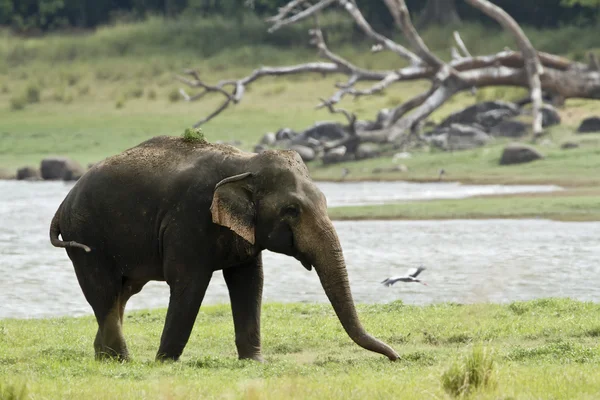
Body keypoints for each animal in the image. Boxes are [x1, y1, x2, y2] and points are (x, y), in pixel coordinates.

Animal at [50, 135, 398, 362]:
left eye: (325, 201)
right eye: (291, 210)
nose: (395, 358)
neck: (245, 163)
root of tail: (63, 204)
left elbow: (250, 282)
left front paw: (253, 362)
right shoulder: (189, 219)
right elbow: (189, 284)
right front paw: (165, 362)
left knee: (122, 293)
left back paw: (104, 357)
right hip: (87, 237)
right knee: (103, 292)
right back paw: (121, 359)